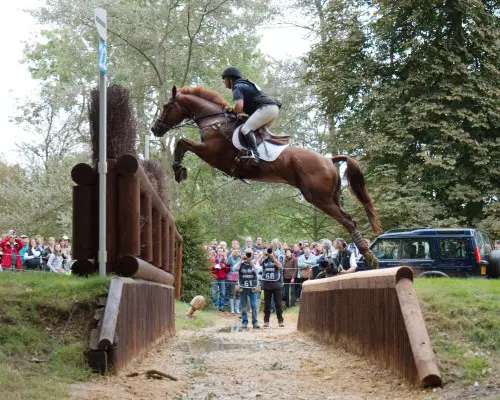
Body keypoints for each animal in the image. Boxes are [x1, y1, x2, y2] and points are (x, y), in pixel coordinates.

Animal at [150, 85, 380, 266]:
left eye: (166, 106)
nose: (155, 129)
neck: (214, 120)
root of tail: (329, 160)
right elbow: (182, 143)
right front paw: (179, 169)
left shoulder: (211, 152)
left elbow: (181, 142)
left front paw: (178, 169)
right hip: (329, 197)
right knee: (350, 219)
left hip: (318, 197)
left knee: (348, 221)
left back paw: (369, 257)